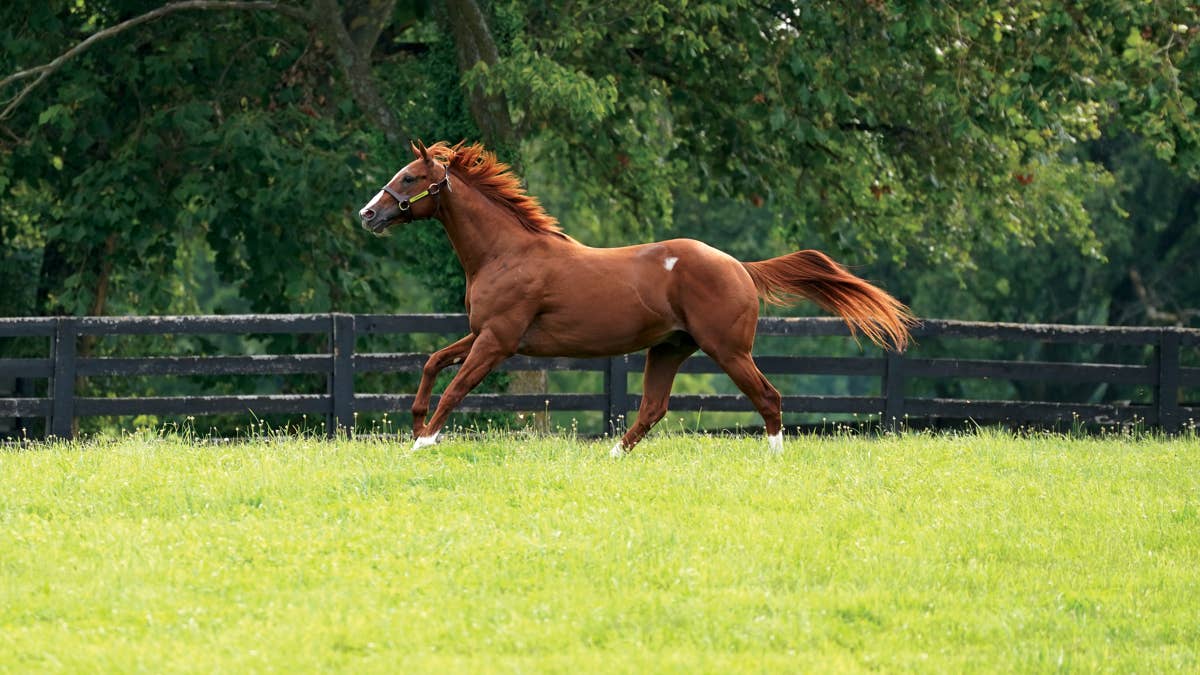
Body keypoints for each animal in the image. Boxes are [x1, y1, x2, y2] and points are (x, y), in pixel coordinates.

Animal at [359, 140, 915, 456]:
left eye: (410, 177)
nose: (367, 214)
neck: (506, 251)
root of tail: (740, 267)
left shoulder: (497, 340)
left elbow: (456, 388)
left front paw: (422, 444)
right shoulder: (481, 333)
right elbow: (433, 363)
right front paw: (415, 425)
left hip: (728, 350)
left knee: (768, 397)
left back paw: (774, 460)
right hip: (668, 349)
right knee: (652, 408)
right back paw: (610, 457)